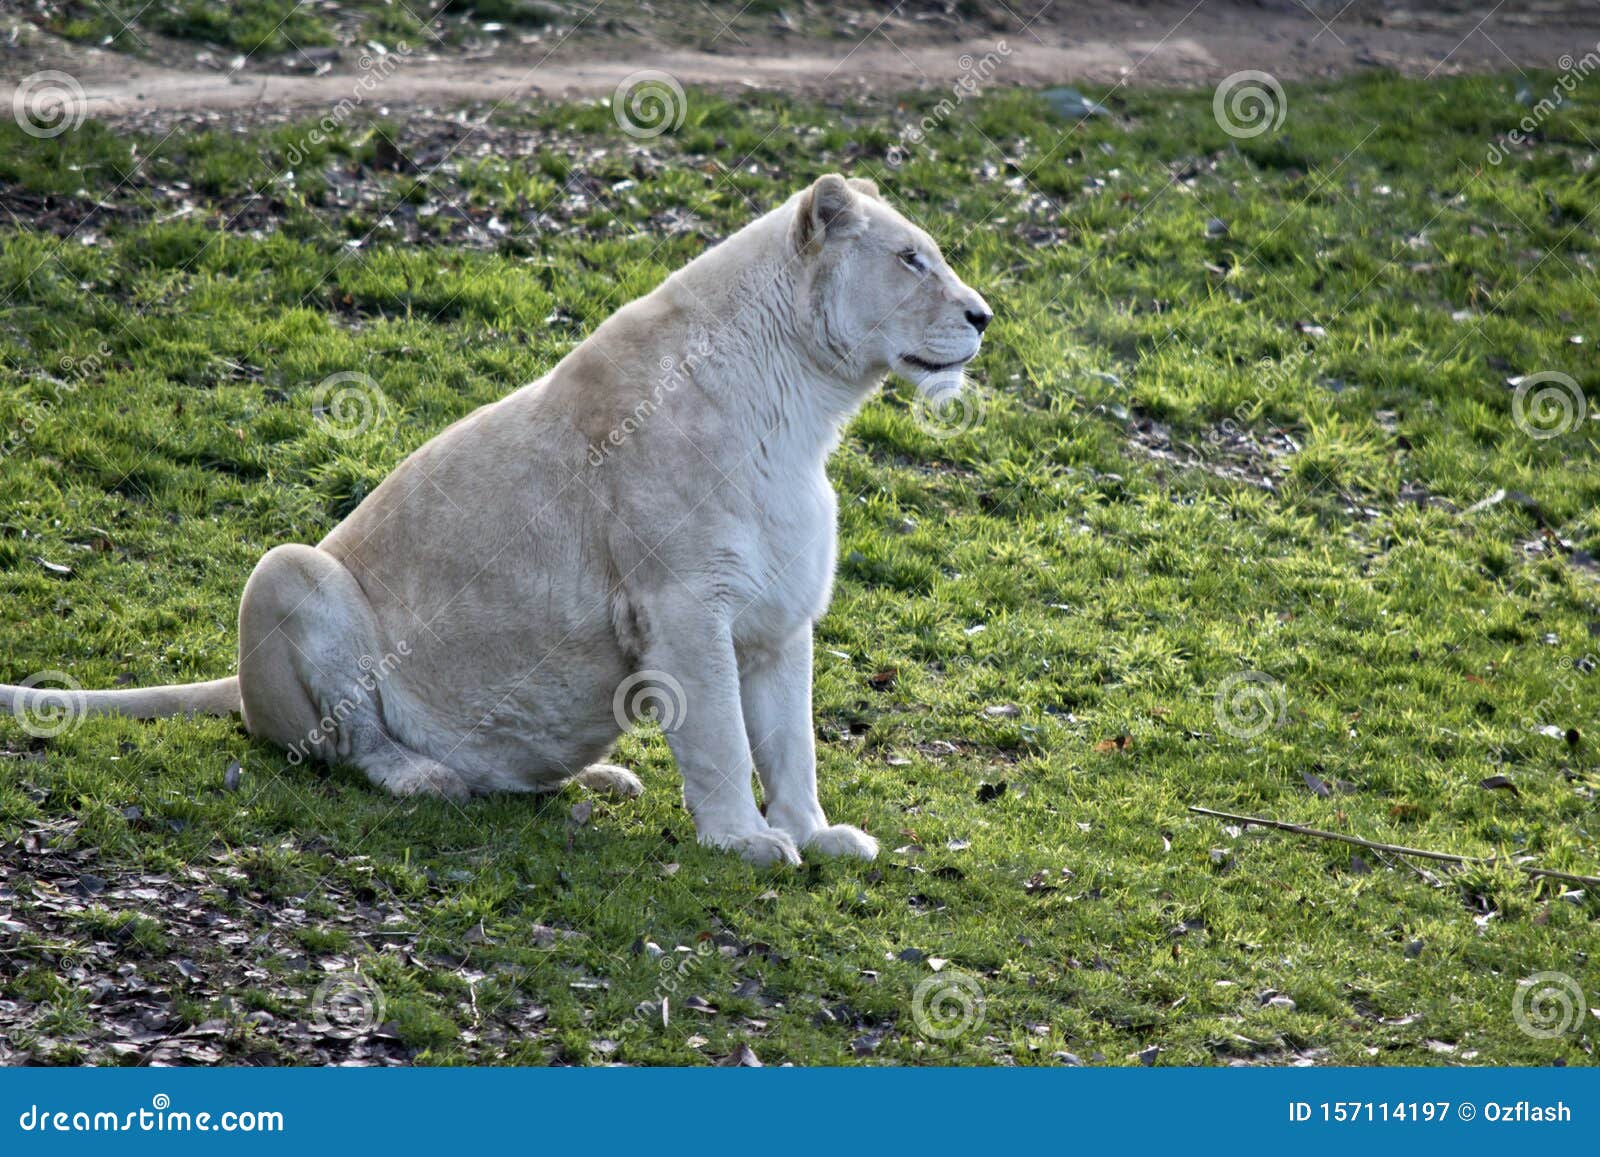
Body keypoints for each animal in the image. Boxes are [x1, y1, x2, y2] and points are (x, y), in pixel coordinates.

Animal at [4, 174, 992, 866]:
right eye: (912, 260)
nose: (984, 315)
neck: (806, 411)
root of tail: (239, 686)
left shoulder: (777, 616)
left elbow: (792, 743)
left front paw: (817, 835)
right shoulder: (682, 604)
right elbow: (718, 734)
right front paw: (744, 840)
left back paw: (599, 773)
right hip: (288, 570)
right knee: (347, 744)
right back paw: (426, 775)